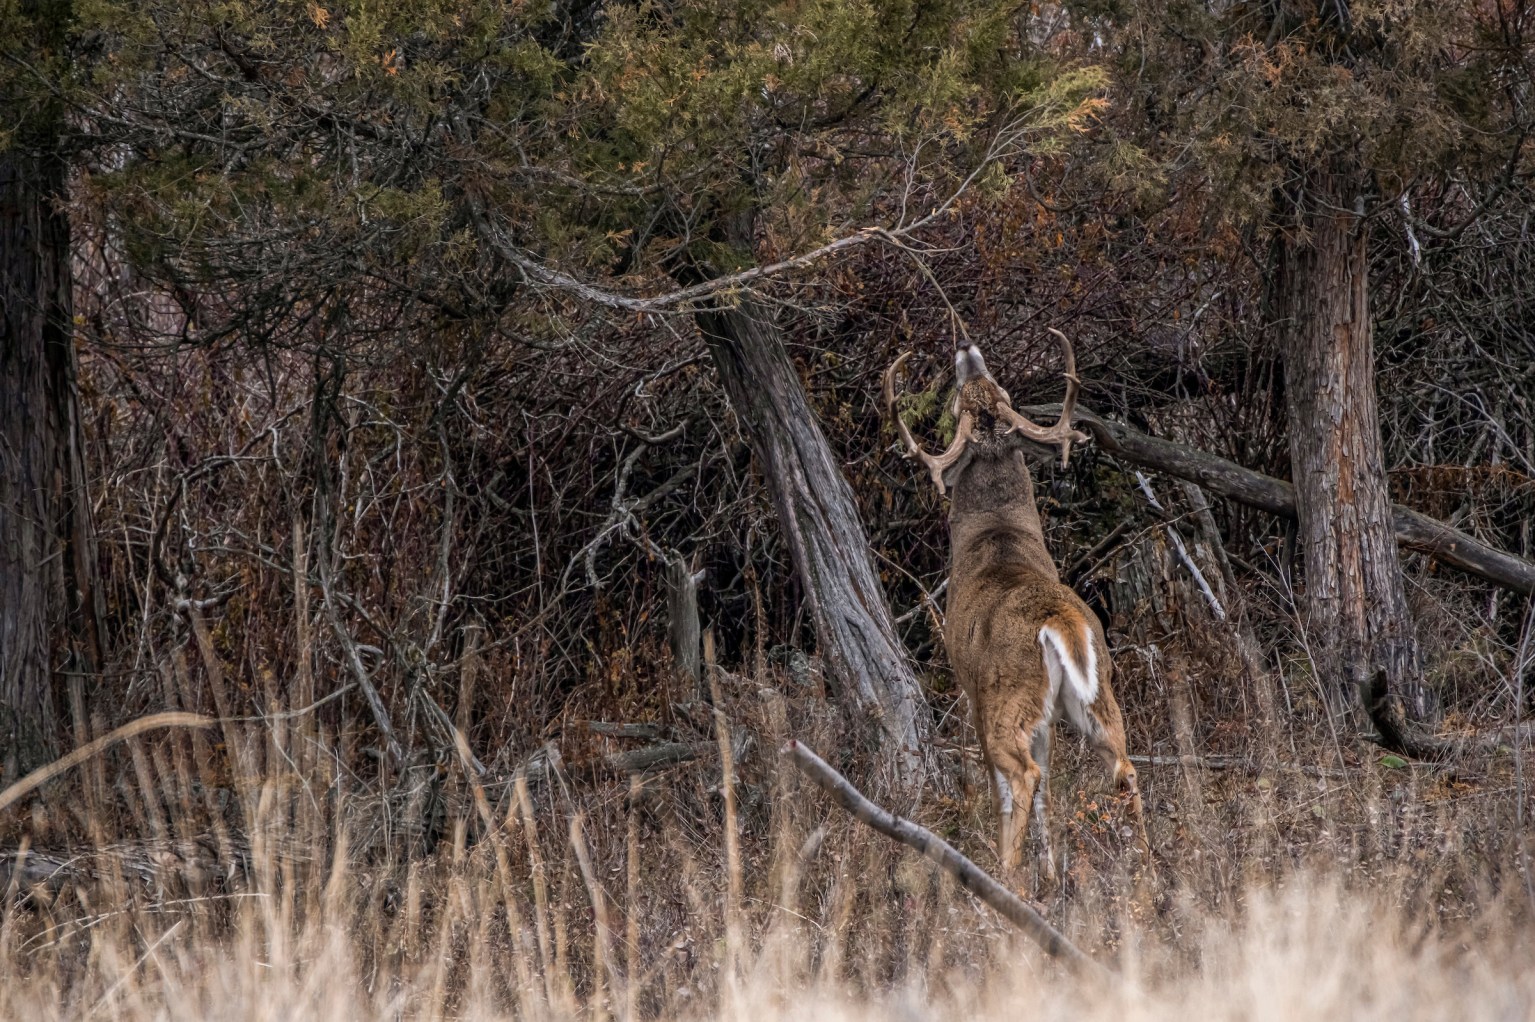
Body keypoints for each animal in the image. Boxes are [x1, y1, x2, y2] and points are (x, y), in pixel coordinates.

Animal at [883, 332, 1147, 880]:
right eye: (997, 388)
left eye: (959, 403)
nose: (966, 348)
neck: (998, 535)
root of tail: (1059, 619)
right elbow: (1049, 791)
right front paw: (1049, 869)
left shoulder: (971, 690)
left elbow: (1001, 787)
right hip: (1095, 693)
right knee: (1122, 765)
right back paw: (1148, 873)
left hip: (1008, 699)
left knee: (1024, 775)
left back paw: (1006, 876)